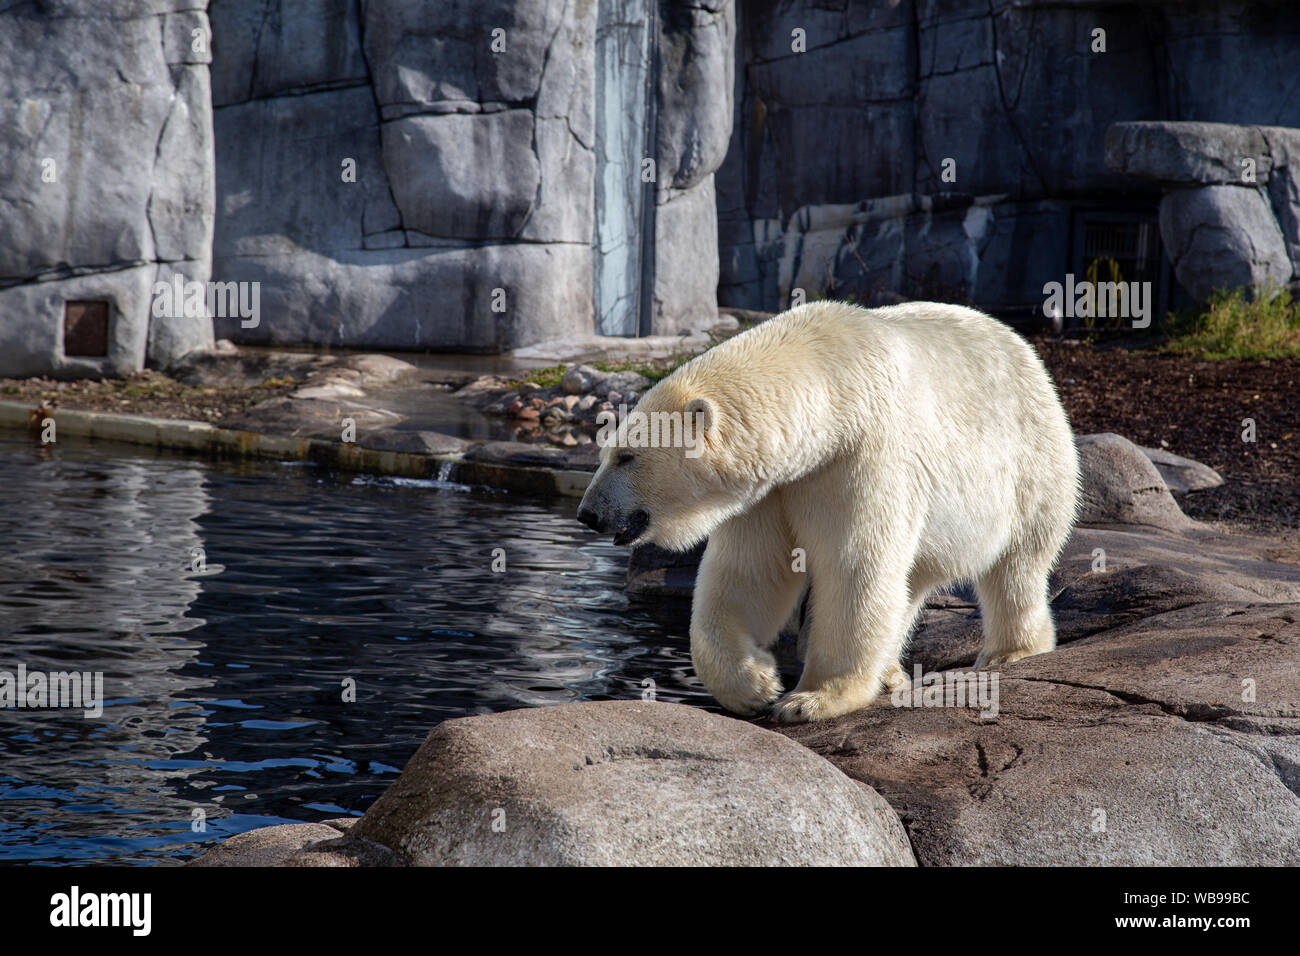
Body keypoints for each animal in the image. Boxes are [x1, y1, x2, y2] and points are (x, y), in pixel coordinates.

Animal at [577, 300, 1080, 723]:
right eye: (605, 452)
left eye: (626, 456)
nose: (587, 513)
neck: (836, 387)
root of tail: (1023, 347)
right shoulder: (774, 488)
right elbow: (749, 574)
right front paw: (755, 683)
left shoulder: (863, 455)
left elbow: (855, 566)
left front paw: (811, 699)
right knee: (912, 582)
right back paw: (891, 671)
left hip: (1031, 459)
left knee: (1018, 562)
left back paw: (1010, 652)